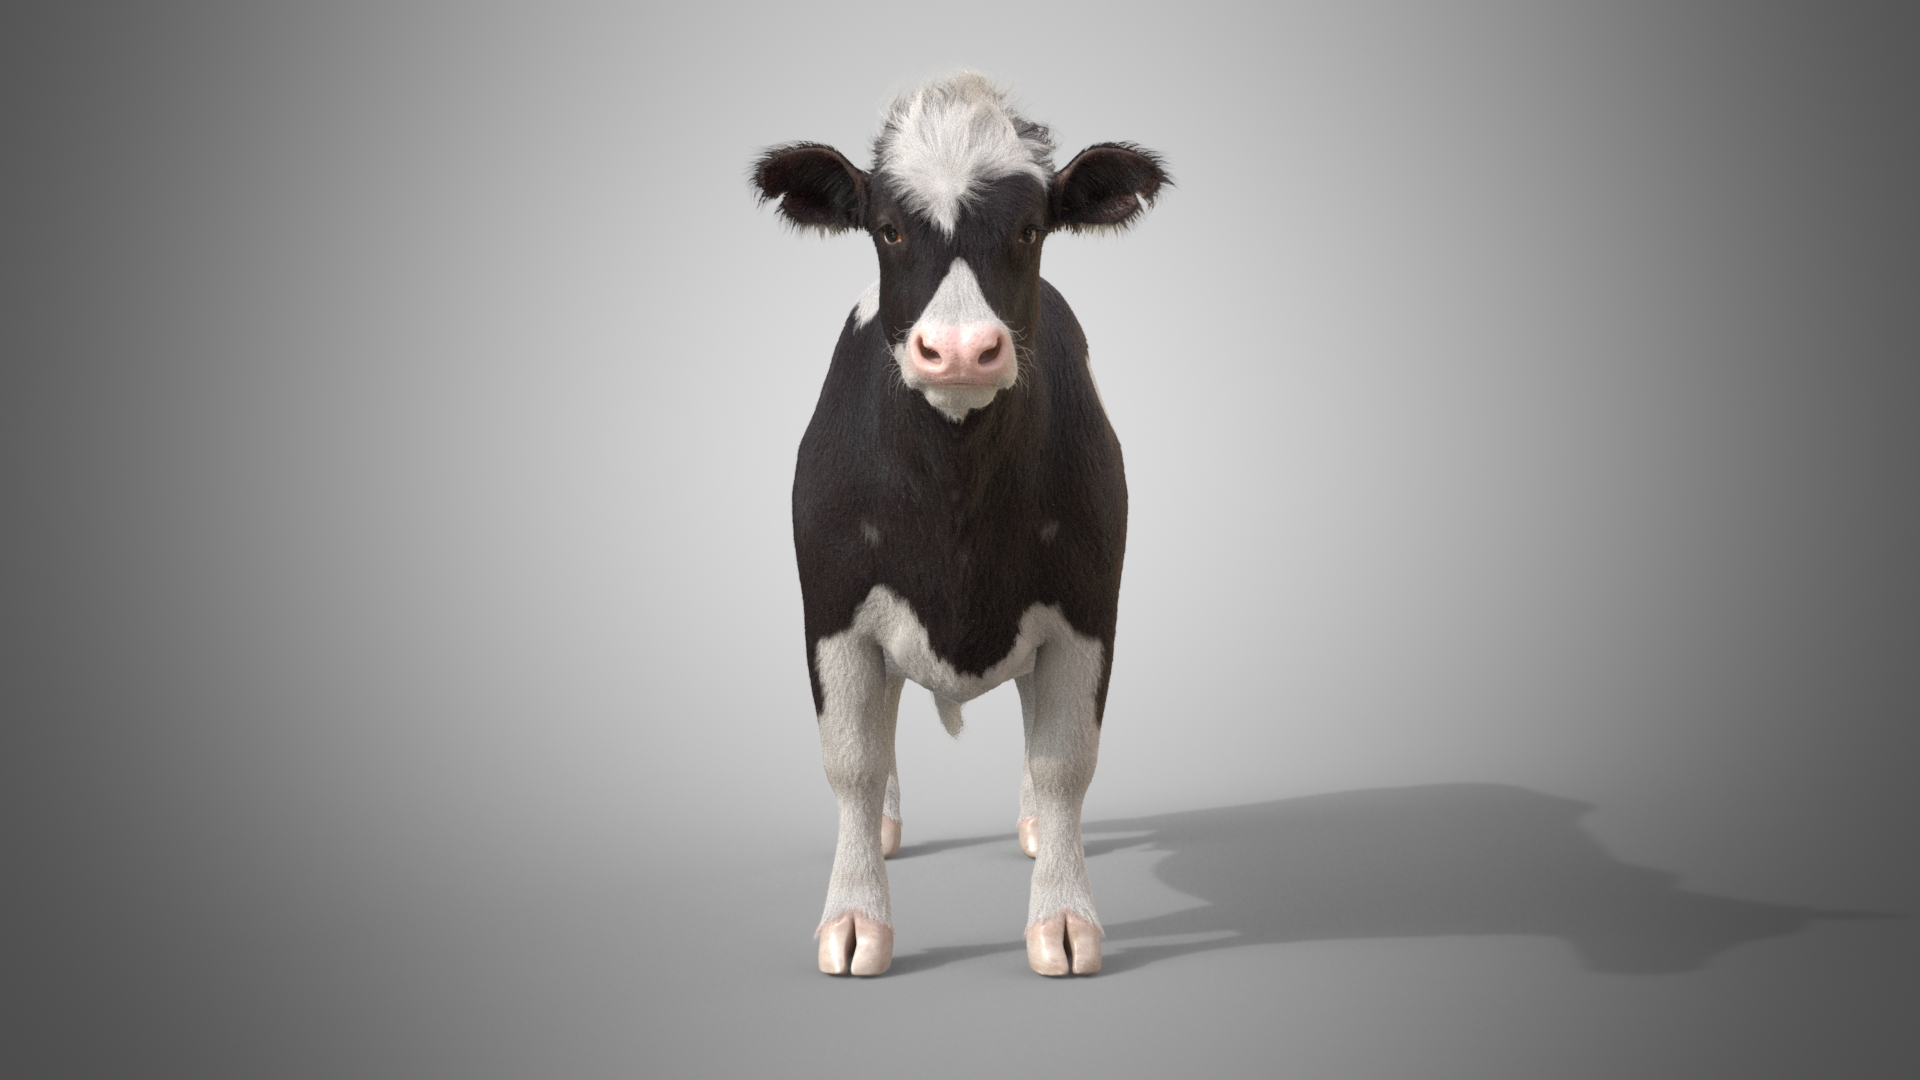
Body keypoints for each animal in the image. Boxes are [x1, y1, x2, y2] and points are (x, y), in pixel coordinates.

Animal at [751, 73, 1168, 977]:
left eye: (1030, 228)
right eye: (889, 227)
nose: (962, 350)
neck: (956, 503)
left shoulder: (1088, 604)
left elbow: (1064, 758)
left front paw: (1062, 916)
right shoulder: (832, 604)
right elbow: (852, 760)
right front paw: (854, 916)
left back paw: (1038, 827)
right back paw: (883, 827)